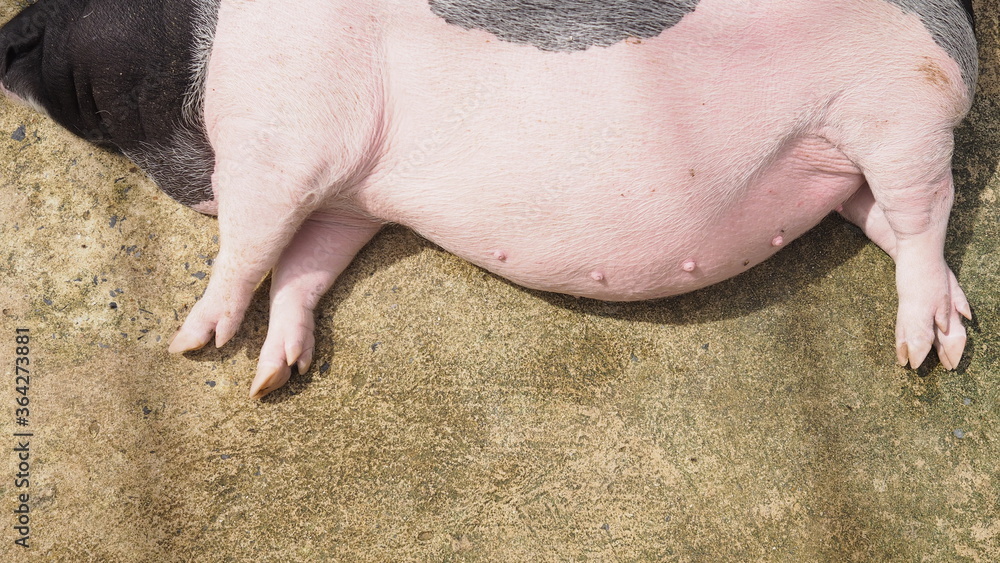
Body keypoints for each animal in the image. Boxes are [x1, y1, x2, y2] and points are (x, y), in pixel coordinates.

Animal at [0, 0, 978, 398]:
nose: (10, 34)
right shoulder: (349, 197)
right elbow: (305, 266)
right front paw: (275, 376)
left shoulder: (281, 142)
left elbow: (249, 243)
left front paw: (189, 342)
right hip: (839, 166)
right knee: (890, 222)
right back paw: (960, 321)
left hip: (901, 109)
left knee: (928, 210)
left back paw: (929, 352)